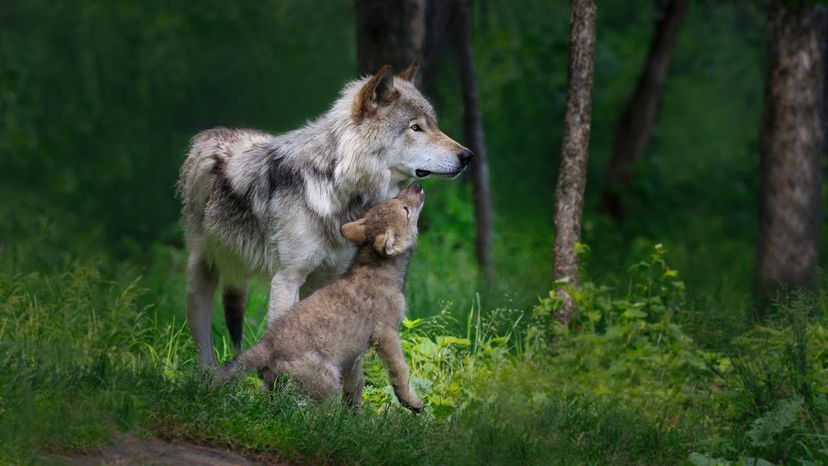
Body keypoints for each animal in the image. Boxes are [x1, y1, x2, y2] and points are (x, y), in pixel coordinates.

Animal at [176, 62, 472, 366]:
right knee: (204, 343)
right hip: (200, 278)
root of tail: (211, 134)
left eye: (434, 125)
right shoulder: (286, 280)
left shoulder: (328, 278)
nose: (468, 155)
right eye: (415, 127)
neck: (335, 184)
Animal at [210, 184, 430, 414]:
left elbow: (356, 385)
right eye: (405, 210)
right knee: (317, 414)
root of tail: (267, 343)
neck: (378, 270)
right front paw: (412, 402)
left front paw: (356, 417)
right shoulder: (386, 334)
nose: (416, 186)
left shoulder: (354, 354)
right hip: (327, 380)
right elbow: (401, 371)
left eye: (395, 198)